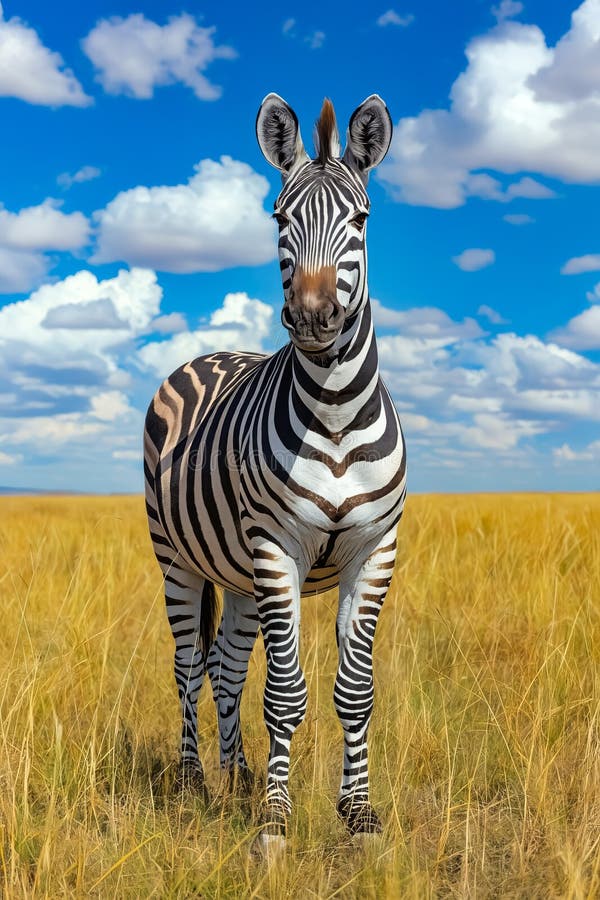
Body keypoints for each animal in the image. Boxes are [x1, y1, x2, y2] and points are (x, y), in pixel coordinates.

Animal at [144, 93, 406, 848]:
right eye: (279, 219)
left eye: (361, 221)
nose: (316, 319)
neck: (337, 414)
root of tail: (209, 355)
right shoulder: (275, 545)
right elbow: (286, 692)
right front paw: (275, 822)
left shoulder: (376, 550)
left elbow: (355, 691)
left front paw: (358, 814)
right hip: (179, 557)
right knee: (189, 665)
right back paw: (195, 780)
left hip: (235, 575)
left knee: (227, 668)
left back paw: (235, 777)